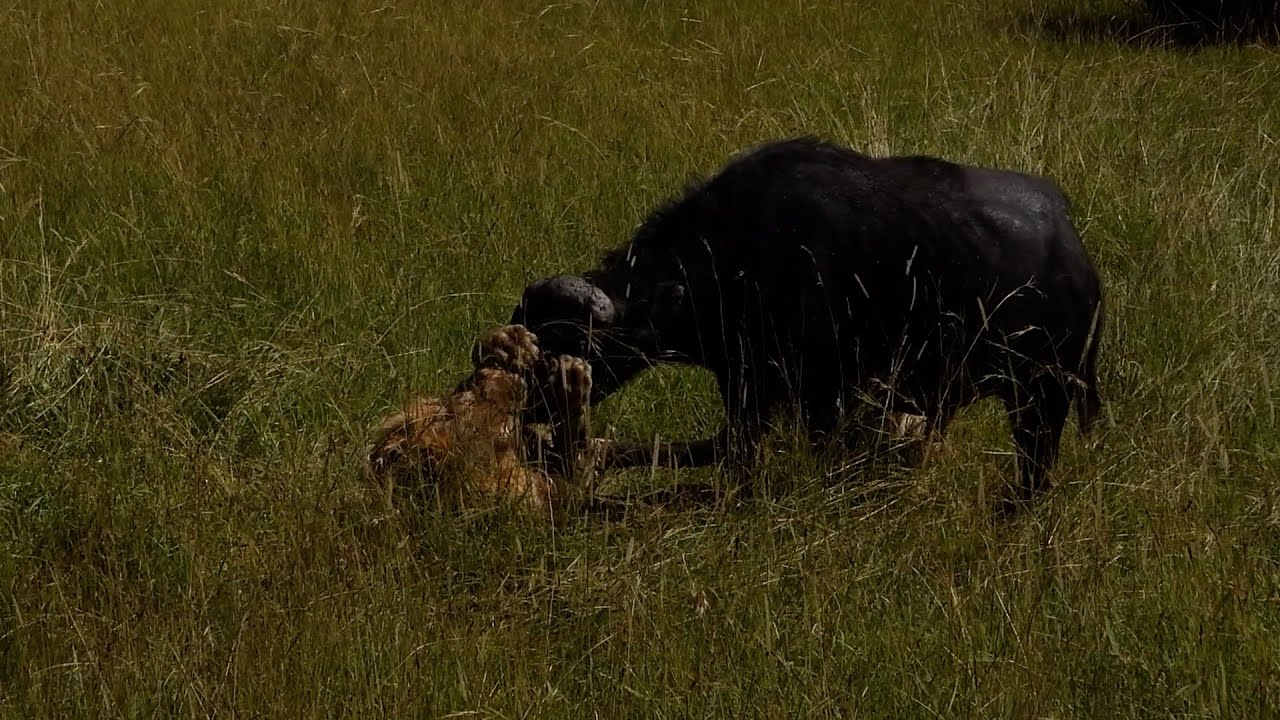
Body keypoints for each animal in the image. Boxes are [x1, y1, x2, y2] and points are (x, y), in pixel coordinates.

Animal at [512, 137, 1104, 510]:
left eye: (563, 338)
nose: (528, 410)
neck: (731, 256)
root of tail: (1076, 256)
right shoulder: (747, 384)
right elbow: (725, 452)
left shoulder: (823, 396)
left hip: (1042, 398)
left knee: (1034, 474)